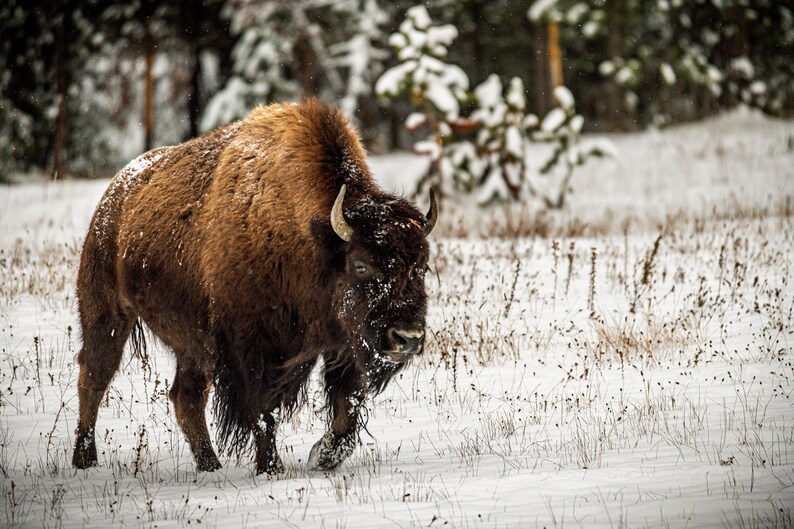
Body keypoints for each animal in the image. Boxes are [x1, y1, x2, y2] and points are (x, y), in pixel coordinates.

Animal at [72, 99, 437, 474]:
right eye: (360, 265)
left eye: (421, 267)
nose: (407, 338)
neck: (313, 240)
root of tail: (114, 196)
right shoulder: (251, 351)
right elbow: (264, 411)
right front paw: (271, 468)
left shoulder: (345, 346)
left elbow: (346, 410)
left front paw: (321, 456)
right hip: (108, 313)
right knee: (94, 375)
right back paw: (85, 459)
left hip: (192, 342)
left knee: (185, 397)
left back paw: (210, 465)